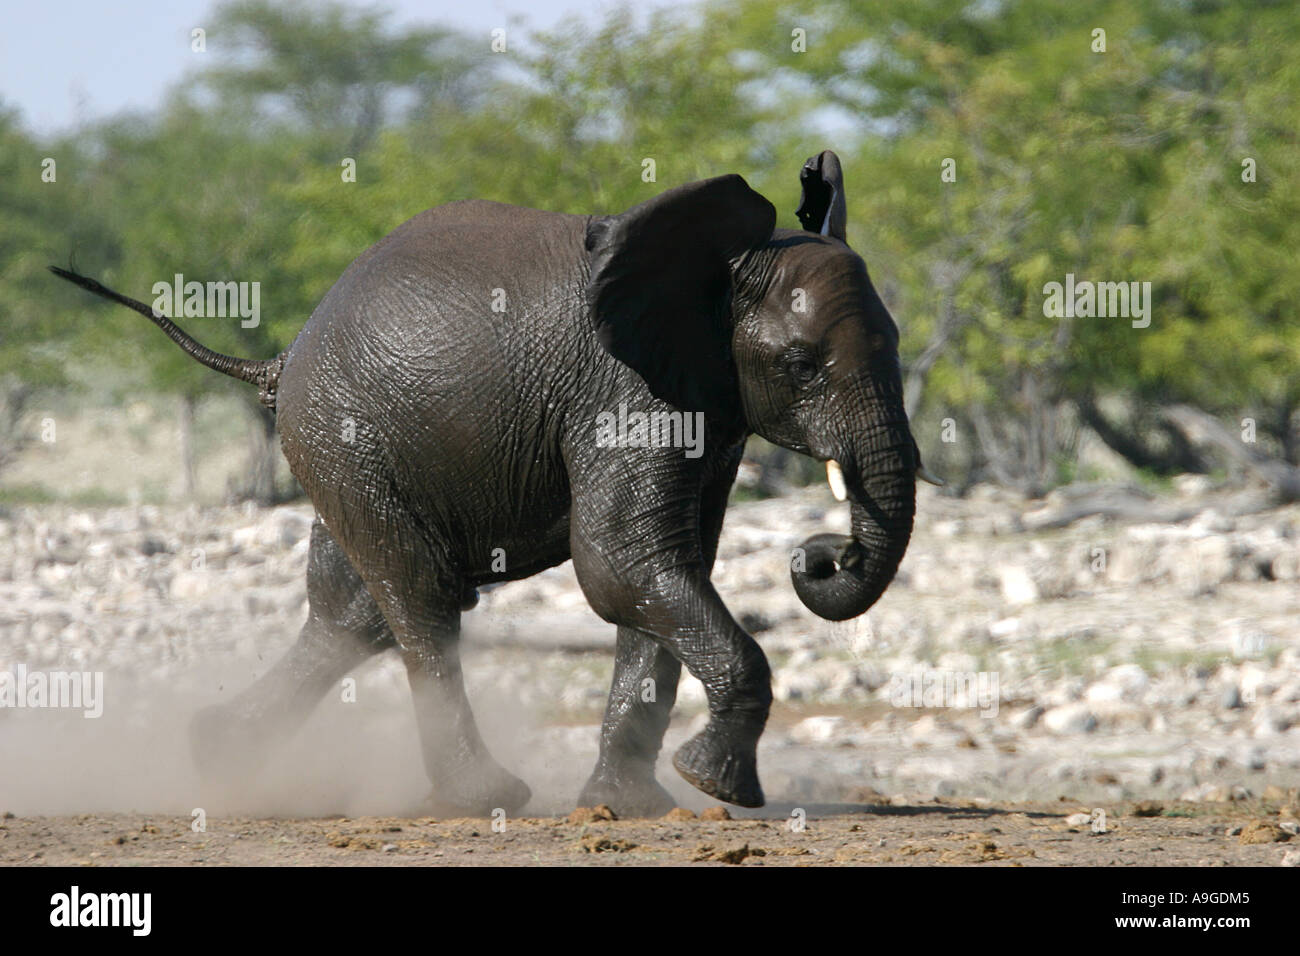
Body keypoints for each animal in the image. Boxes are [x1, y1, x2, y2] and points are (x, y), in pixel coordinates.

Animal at [50, 149, 935, 817]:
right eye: (801, 364)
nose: (820, 555)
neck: (719, 265)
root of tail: (283, 356)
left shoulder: (704, 407)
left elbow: (667, 566)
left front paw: (629, 808)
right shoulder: (623, 390)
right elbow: (620, 563)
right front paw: (717, 787)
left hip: (347, 446)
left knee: (353, 612)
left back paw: (221, 759)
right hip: (339, 430)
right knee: (420, 597)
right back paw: (483, 797)